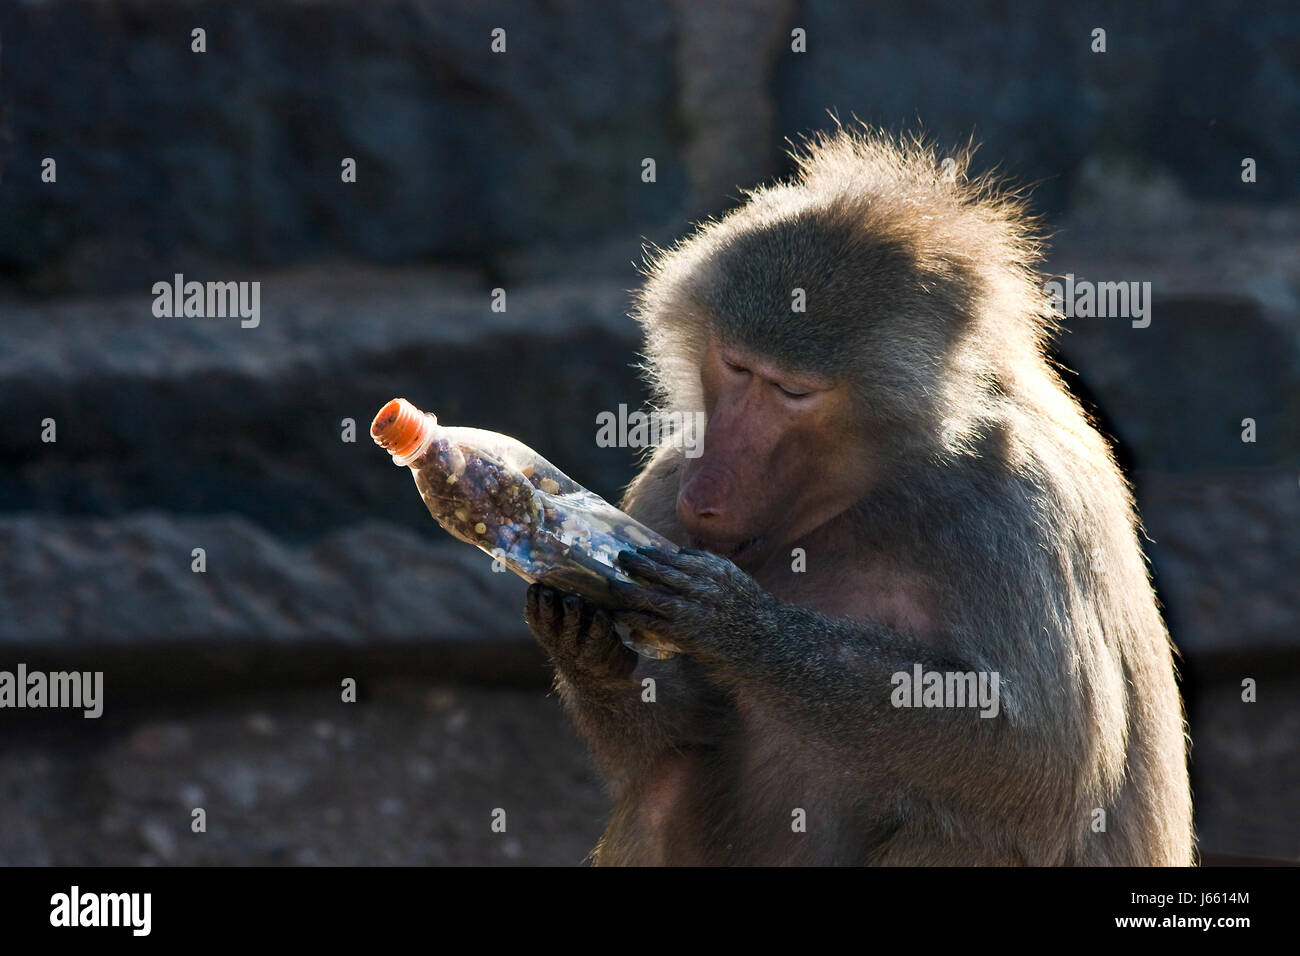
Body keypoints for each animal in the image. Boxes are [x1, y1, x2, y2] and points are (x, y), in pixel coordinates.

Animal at [524, 125, 1194, 866]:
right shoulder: (668, 477)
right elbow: (670, 733)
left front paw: (741, 628)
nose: (705, 494)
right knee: (662, 787)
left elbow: (1047, 754)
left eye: (792, 391)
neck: (883, 484)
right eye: (735, 367)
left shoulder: (1016, 509)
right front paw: (589, 649)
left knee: (967, 833)